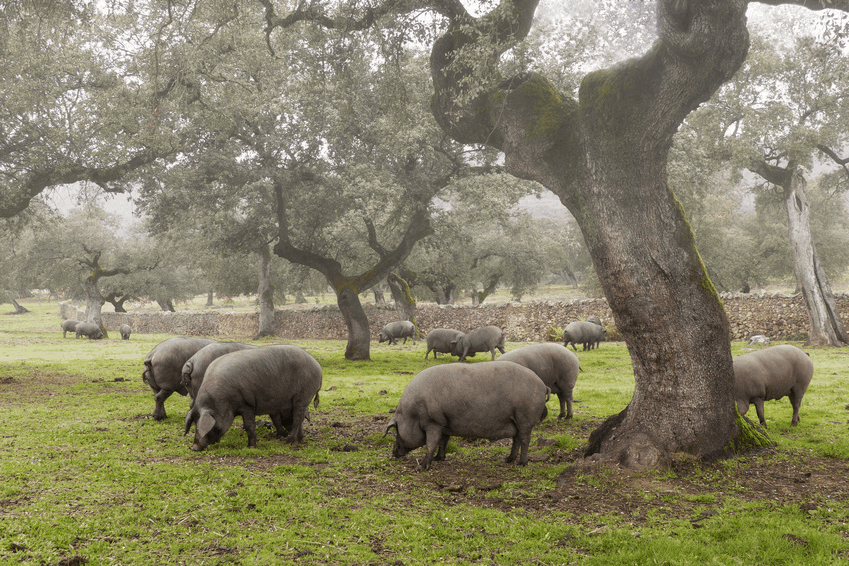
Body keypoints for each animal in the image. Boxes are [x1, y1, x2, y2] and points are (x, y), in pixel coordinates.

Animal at [184, 346, 320, 452]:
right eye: (195, 424)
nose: (194, 448)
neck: (223, 401)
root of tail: (317, 365)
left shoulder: (247, 405)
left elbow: (249, 425)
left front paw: (251, 447)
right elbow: (274, 419)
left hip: (303, 396)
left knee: (298, 418)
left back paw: (289, 441)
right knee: (300, 418)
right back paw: (299, 440)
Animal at [382, 364, 548, 470]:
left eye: (396, 430)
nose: (393, 452)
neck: (413, 413)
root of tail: (542, 385)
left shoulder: (434, 423)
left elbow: (431, 444)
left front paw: (420, 467)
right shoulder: (445, 424)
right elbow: (443, 442)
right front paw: (439, 459)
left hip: (524, 417)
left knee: (525, 440)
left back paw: (521, 463)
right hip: (516, 420)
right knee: (516, 439)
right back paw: (507, 460)